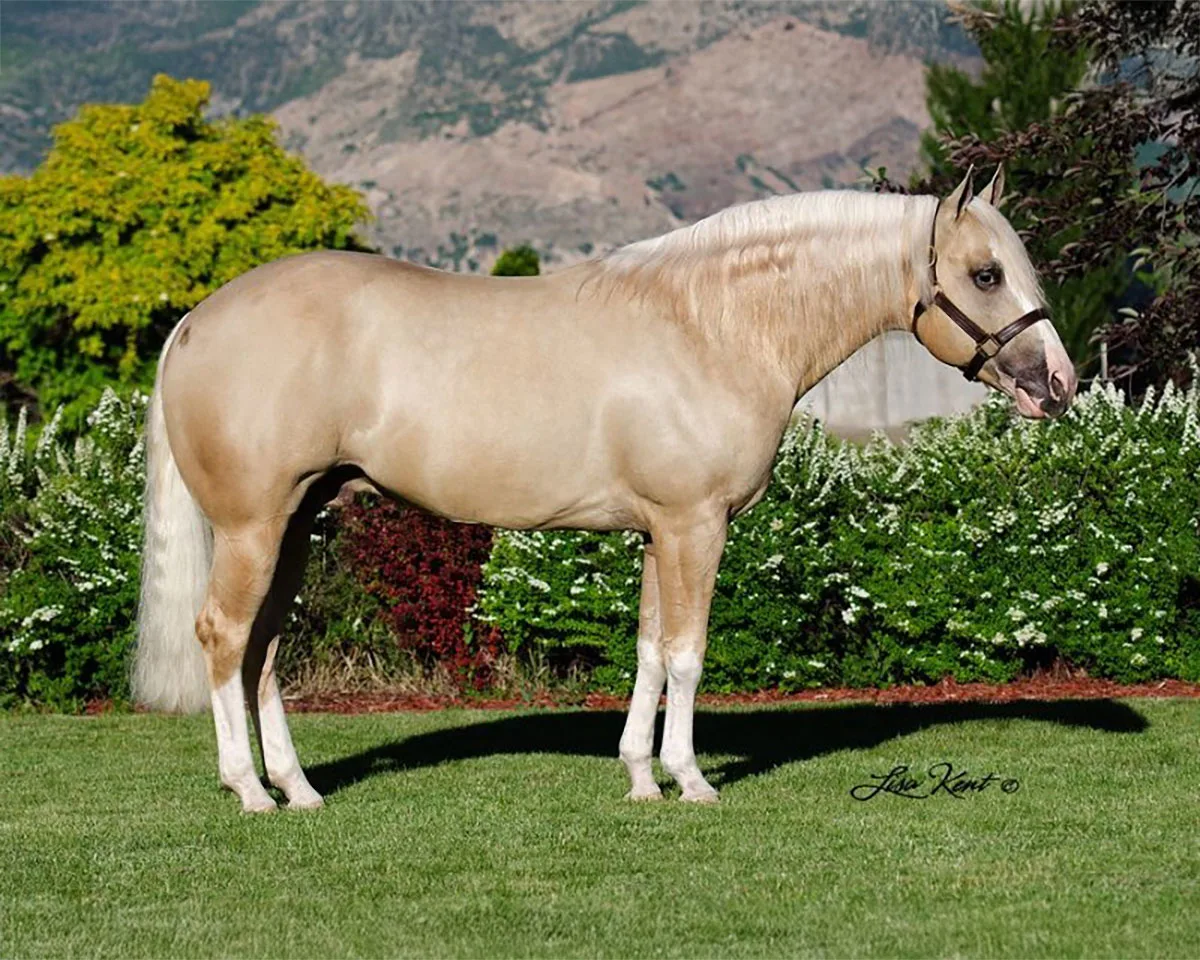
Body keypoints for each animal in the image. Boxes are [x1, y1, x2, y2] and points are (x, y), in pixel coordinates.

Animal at [134, 167, 1077, 812]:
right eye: (986, 274)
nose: (1058, 385)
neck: (710, 326)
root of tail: (197, 320)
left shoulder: (660, 531)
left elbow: (651, 651)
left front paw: (641, 776)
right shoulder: (696, 526)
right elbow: (689, 655)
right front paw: (691, 780)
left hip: (296, 523)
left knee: (260, 652)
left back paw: (297, 788)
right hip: (254, 526)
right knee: (224, 636)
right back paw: (249, 791)